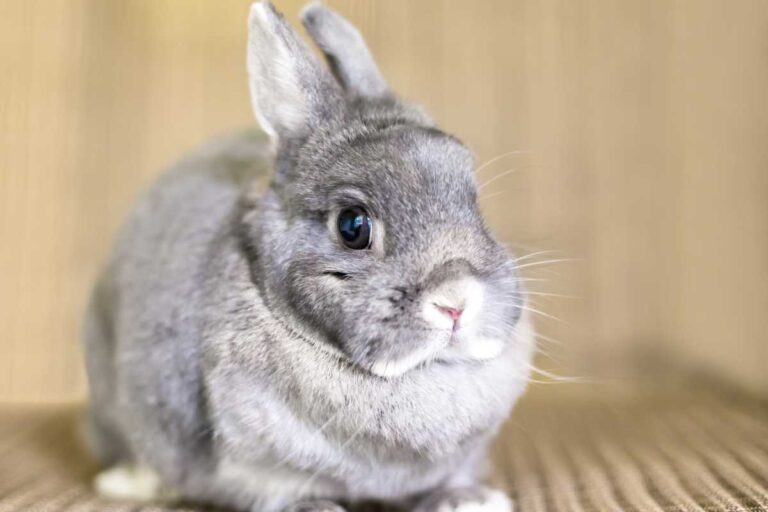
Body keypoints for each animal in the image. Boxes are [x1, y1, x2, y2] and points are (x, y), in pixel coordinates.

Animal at [82, 2, 534, 512]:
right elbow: (272, 489)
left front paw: (469, 499)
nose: (456, 300)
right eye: (353, 226)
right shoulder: (249, 465)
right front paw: (313, 506)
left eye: (474, 200)